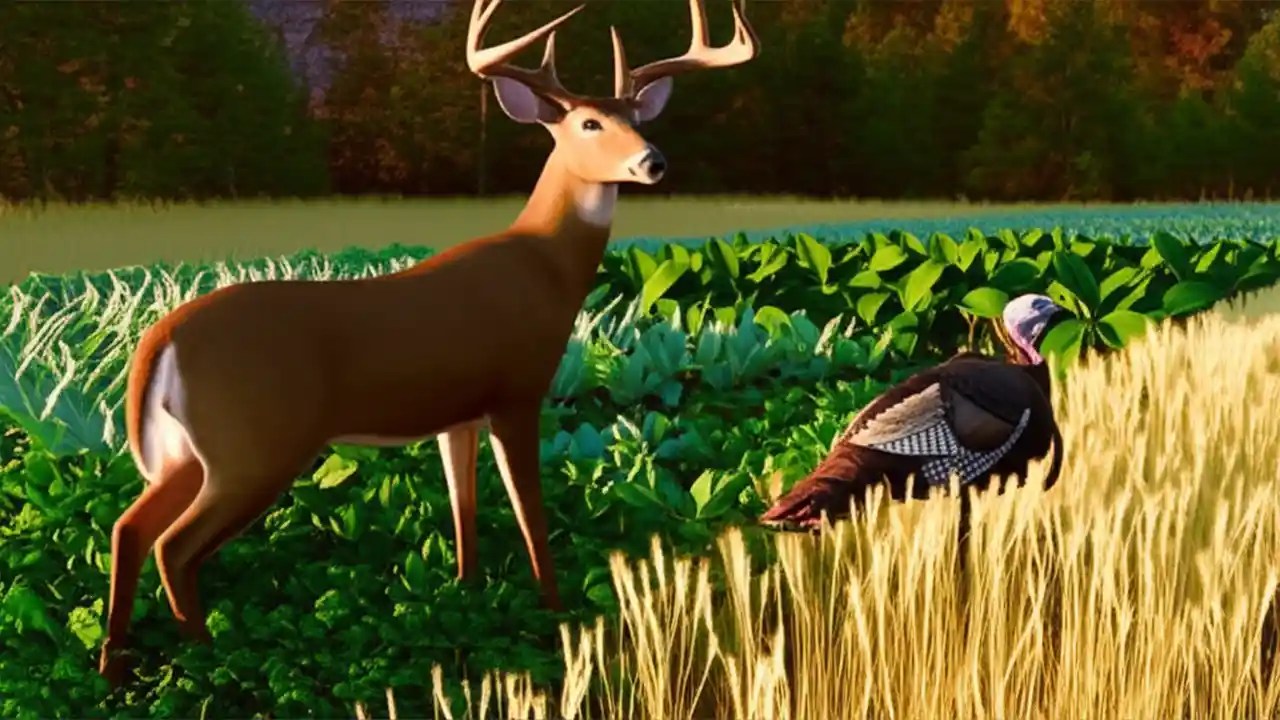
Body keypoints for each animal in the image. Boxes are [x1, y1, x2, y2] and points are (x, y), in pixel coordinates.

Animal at [96, 0, 760, 689]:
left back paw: (116, 666)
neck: (544, 265)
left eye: (637, 117)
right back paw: (205, 661)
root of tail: (157, 339)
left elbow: (462, 507)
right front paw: (554, 611)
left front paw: (467, 596)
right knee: (174, 545)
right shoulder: (517, 390)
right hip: (252, 444)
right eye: (589, 121)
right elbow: (529, 510)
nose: (652, 162)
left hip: (190, 451)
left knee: (128, 526)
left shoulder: (456, 413)